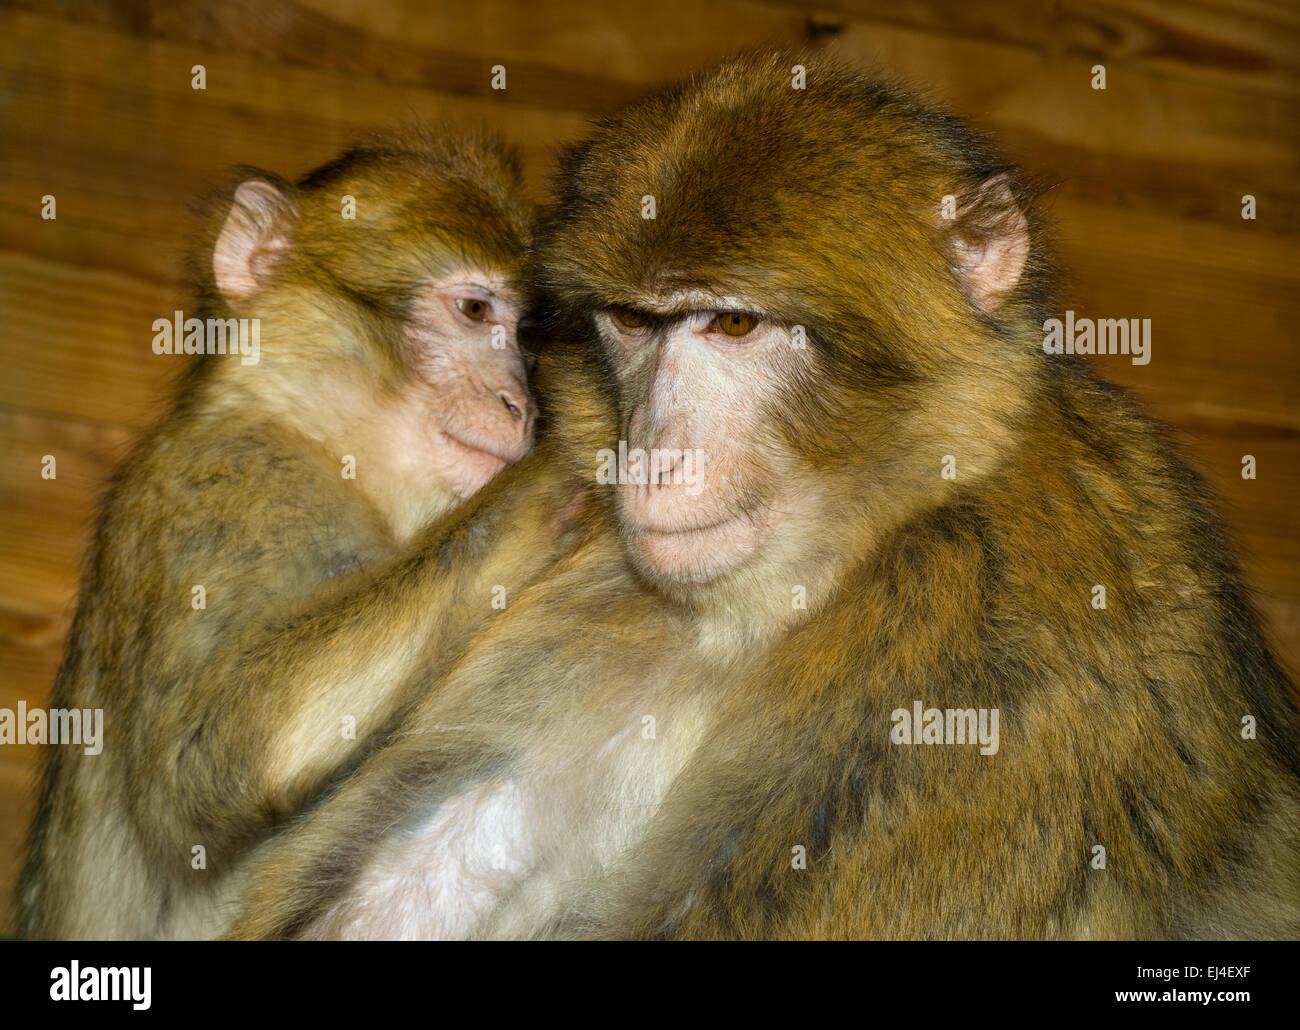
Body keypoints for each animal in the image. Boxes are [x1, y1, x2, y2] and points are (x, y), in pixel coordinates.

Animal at [18, 129, 585, 940]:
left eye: (526, 345)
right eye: (477, 311)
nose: (520, 405)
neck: (316, 436)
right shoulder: (234, 486)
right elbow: (207, 758)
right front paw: (570, 463)